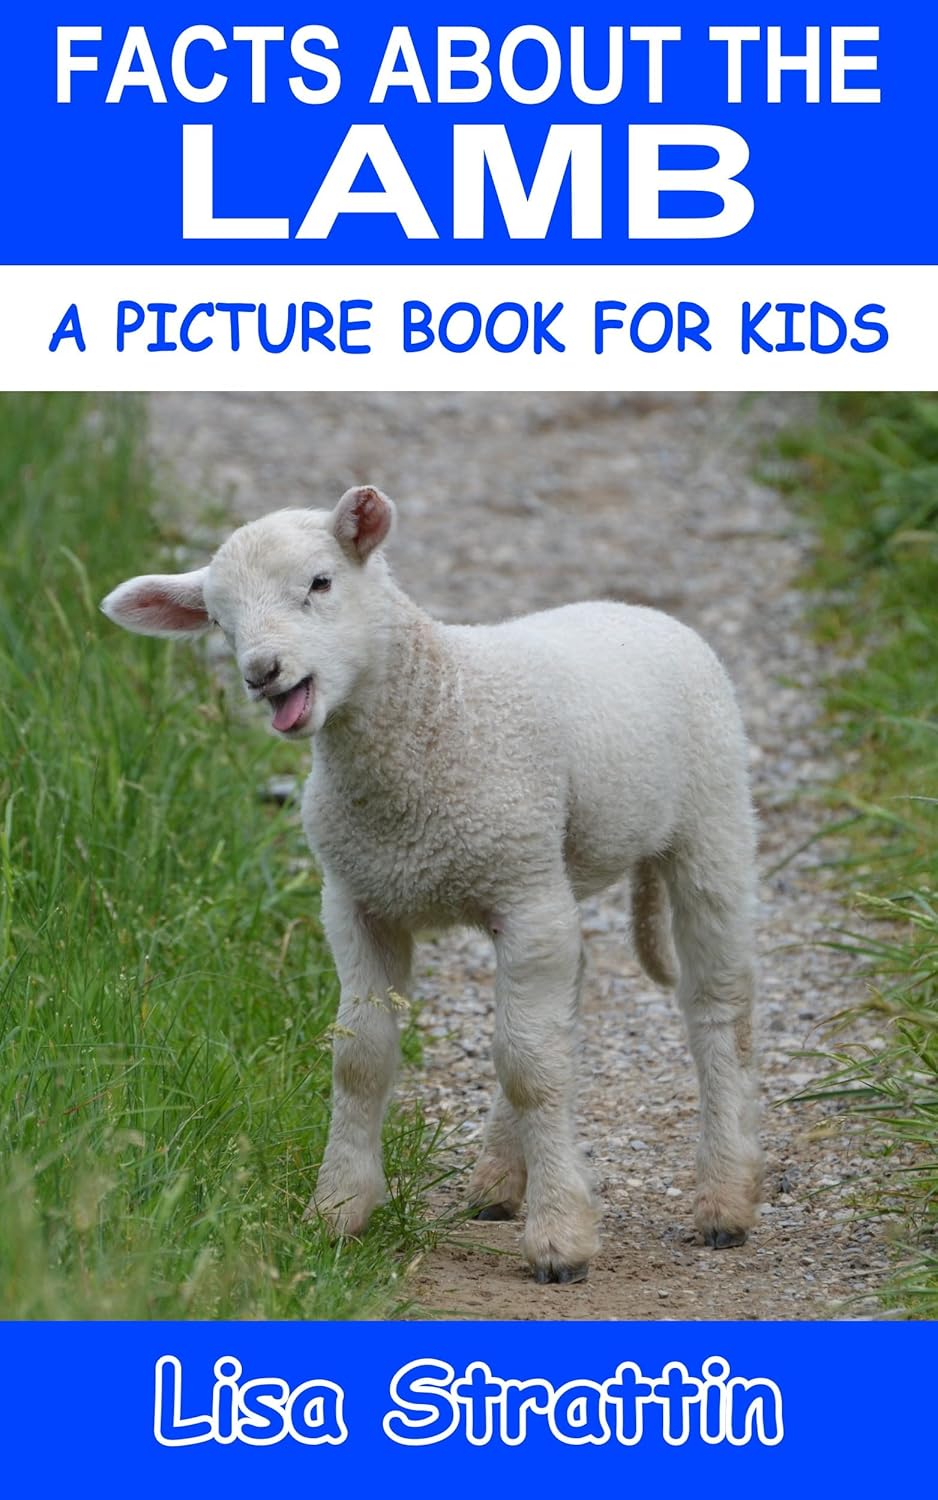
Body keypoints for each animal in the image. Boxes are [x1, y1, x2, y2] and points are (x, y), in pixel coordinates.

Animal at [101, 485, 762, 1284]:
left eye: (320, 583)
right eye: (220, 621)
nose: (262, 671)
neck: (436, 708)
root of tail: (635, 609)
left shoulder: (520, 889)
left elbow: (531, 1068)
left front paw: (561, 1238)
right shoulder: (357, 901)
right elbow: (361, 1059)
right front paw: (338, 1209)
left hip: (708, 819)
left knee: (715, 1004)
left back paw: (724, 1198)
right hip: (554, 870)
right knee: (562, 1005)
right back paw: (501, 1179)